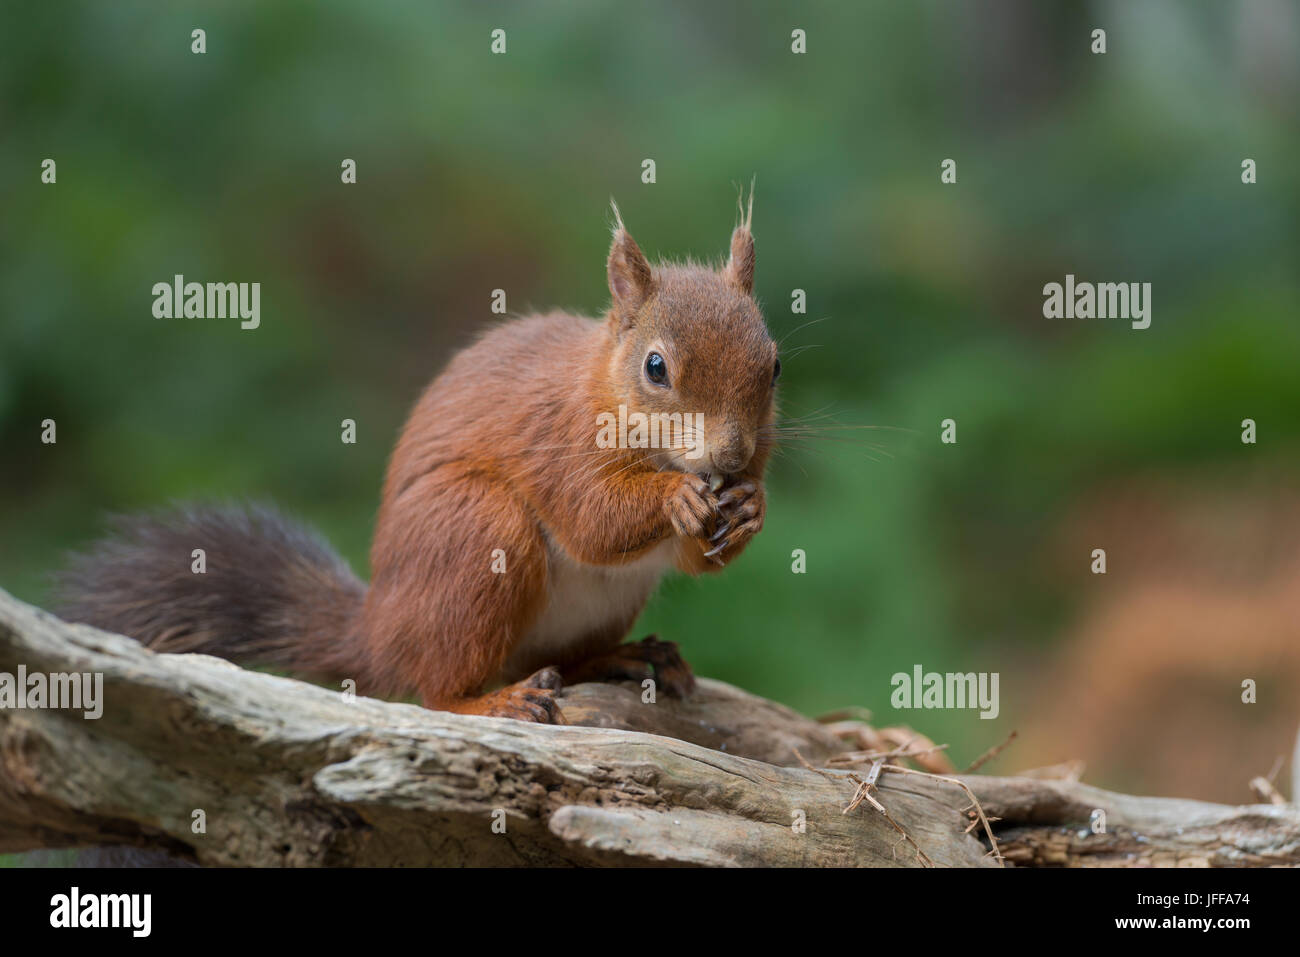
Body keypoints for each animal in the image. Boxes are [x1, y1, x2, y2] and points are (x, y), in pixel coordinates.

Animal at [54, 194, 779, 723]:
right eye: (656, 368)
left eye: (773, 366)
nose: (734, 454)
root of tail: (378, 630)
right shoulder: (554, 439)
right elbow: (590, 517)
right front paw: (674, 499)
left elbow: (699, 556)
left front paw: (750, 507)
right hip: (475, 530)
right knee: (440, 689)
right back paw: (497, 700)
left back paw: (623, 658)